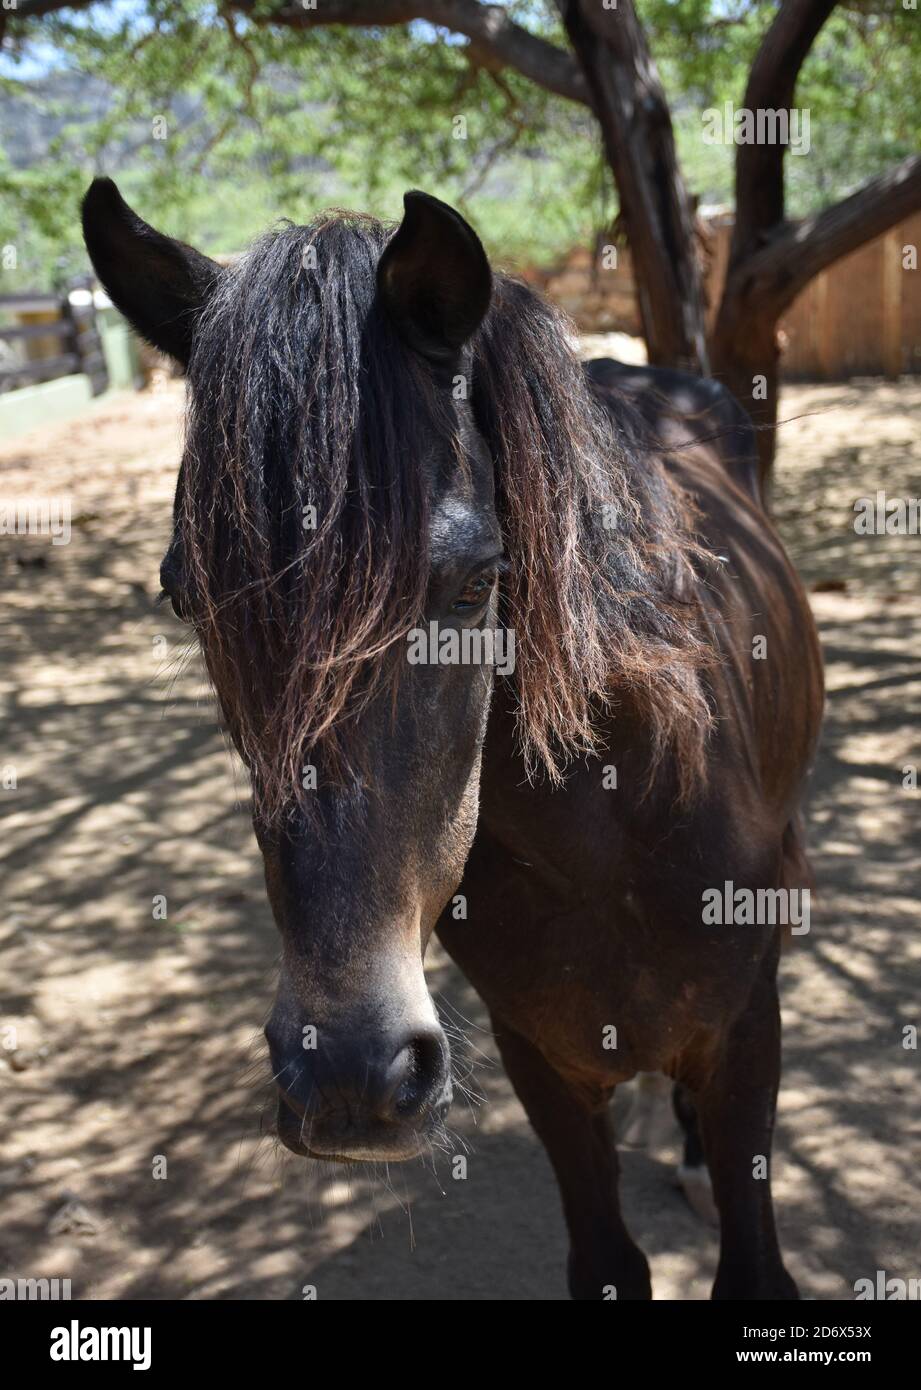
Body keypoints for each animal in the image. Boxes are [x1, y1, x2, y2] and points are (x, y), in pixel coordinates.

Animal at [82, 177, 824, 1300]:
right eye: (186, 601)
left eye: (477, 584)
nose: (345, 1075)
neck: (613, 834)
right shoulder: (540, 1057)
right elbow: (606, 1260)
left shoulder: (745, 1036)